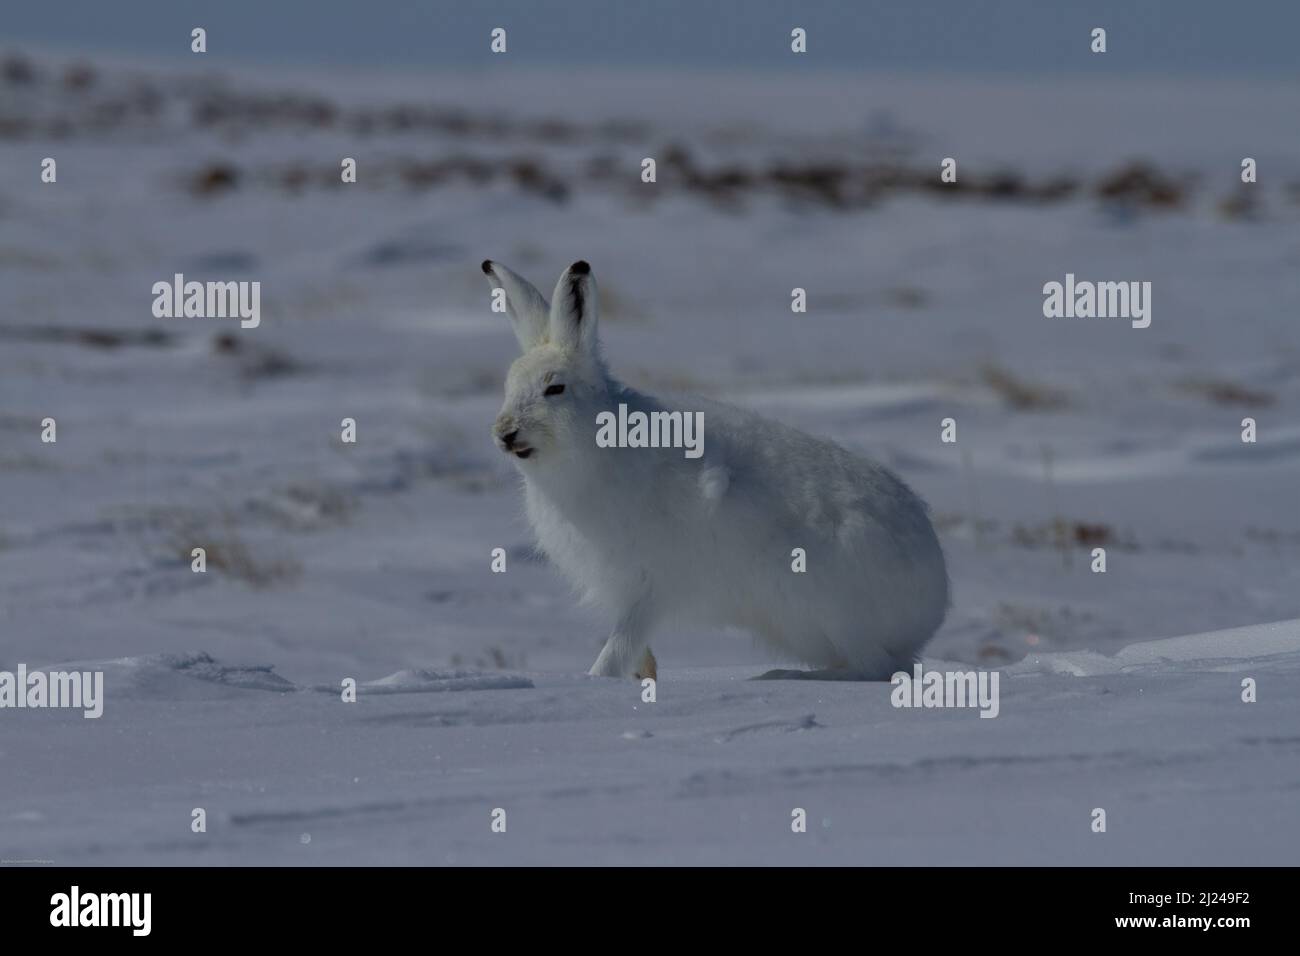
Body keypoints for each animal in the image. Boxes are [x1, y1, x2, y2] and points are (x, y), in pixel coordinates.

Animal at [482, 259, 949, 681]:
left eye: (555, 388)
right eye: (508, 386)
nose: (504, 433)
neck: (593, 447)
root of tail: (932, 602)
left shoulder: (649, 587)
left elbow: (619, 645)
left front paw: (596, 679)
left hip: (831, 607)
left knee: (875, 669)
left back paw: (788, 676)